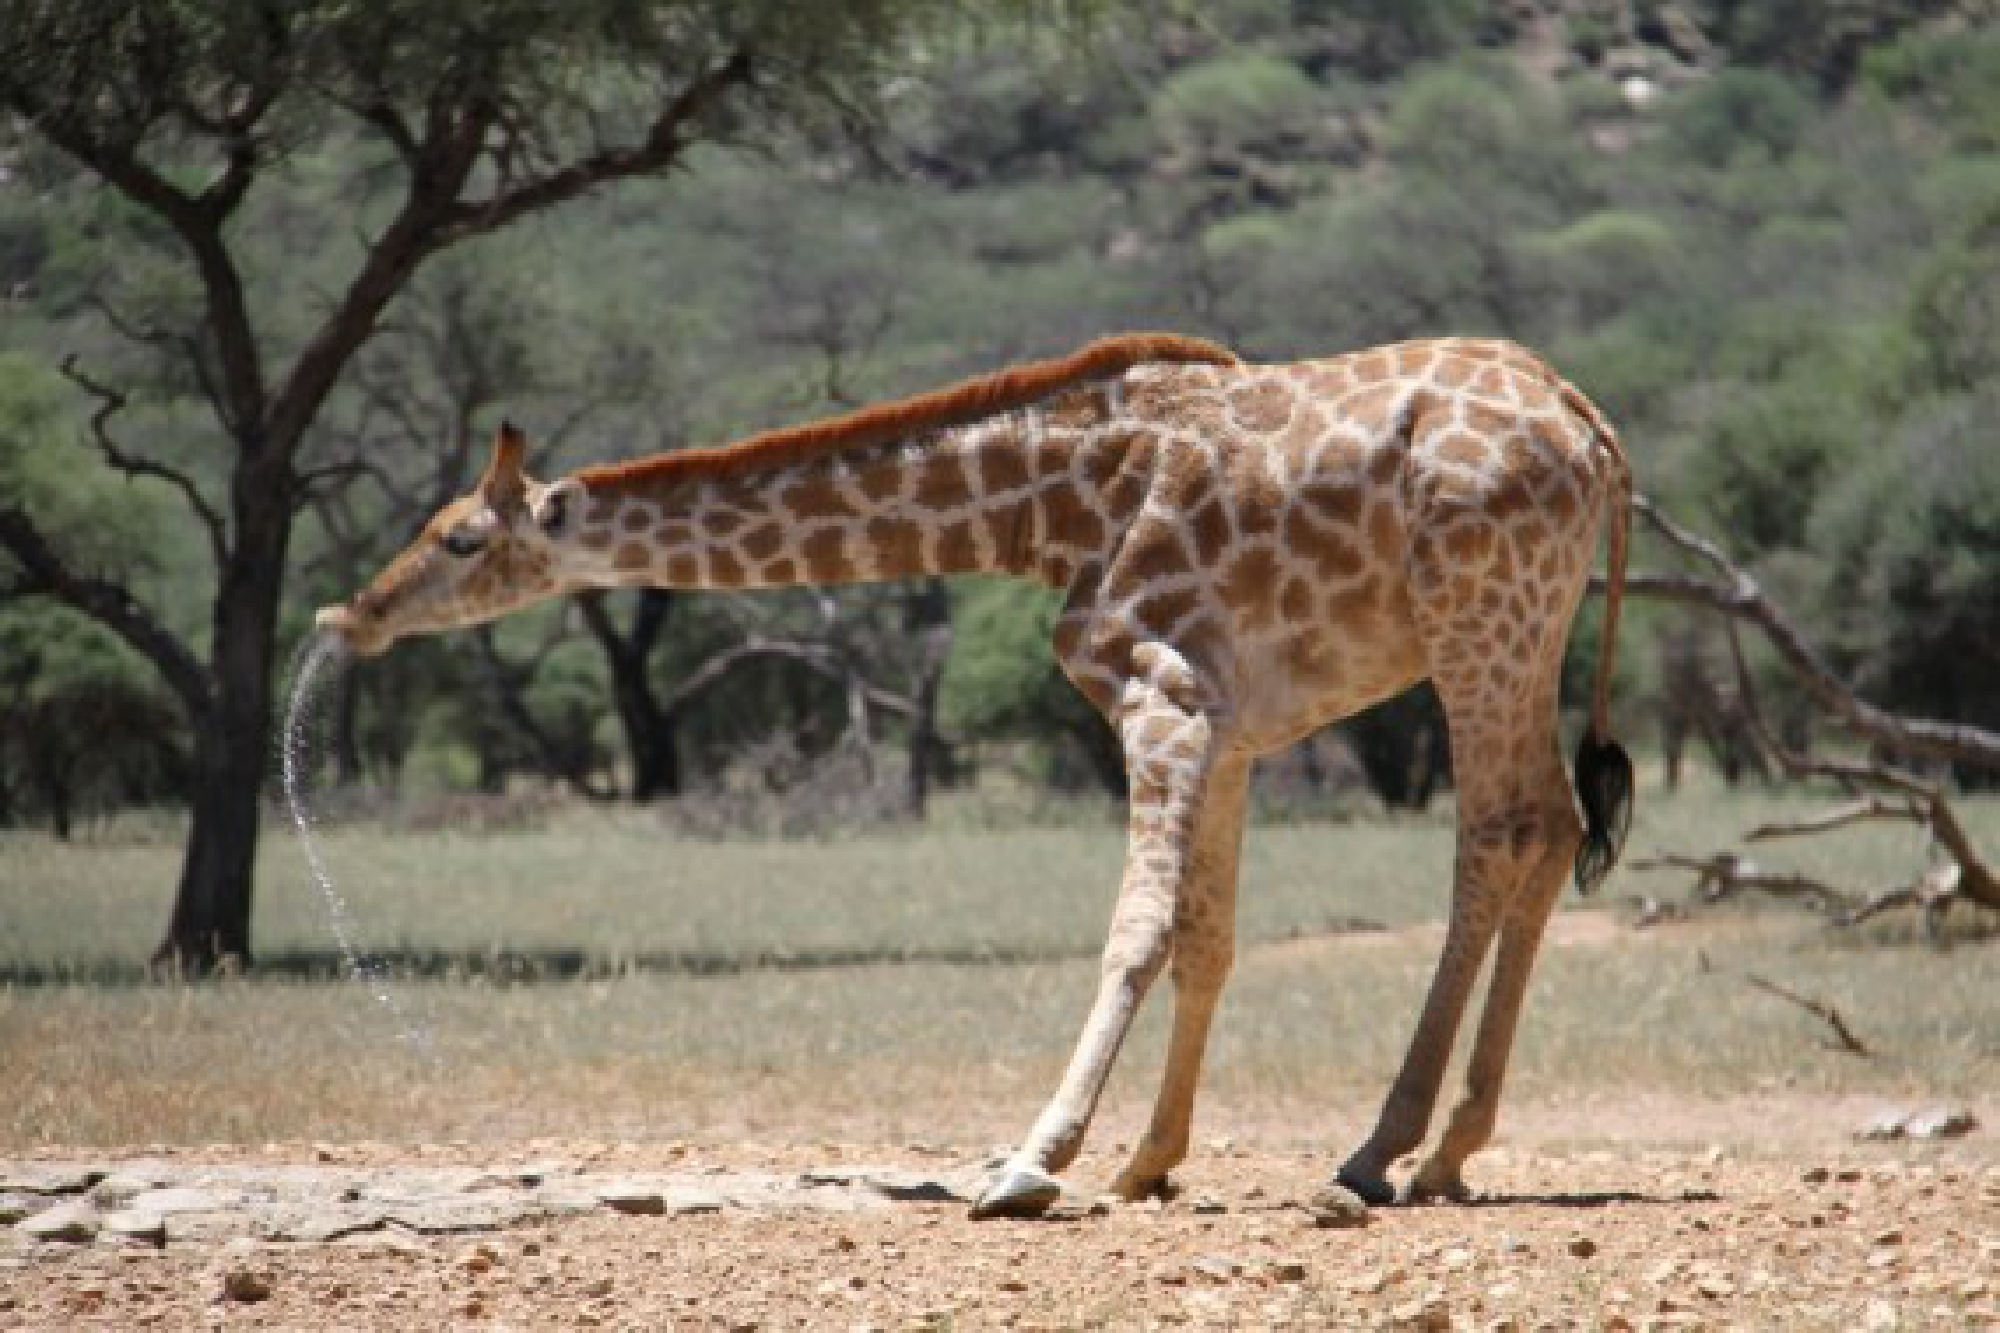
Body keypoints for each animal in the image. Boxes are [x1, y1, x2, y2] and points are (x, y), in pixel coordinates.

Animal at [317, 331, 1635, 1217]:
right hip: (1524, 626)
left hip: (1478, 620)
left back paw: (1379, 1152)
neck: (1045, 506)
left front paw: (1030, 1159)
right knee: (1549, 826)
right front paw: (1147, 1160)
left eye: (460, 539)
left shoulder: (1158, 695)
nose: (350, 612)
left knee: (1498, 833)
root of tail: (1593, 428)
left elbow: (1135, 929)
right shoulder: (1229, 725)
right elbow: (1205, 936)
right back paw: (1448, 1149)